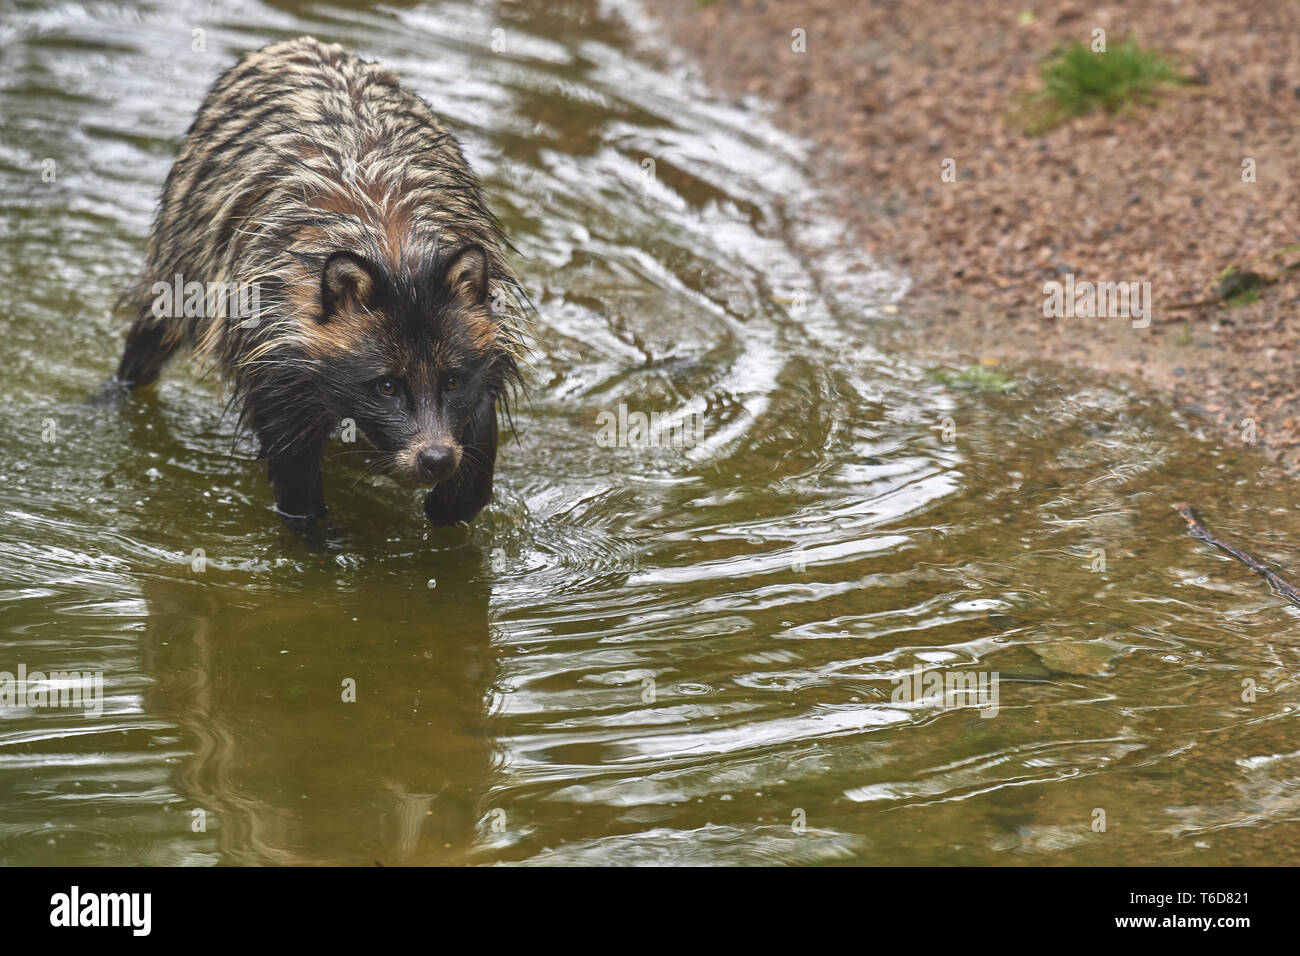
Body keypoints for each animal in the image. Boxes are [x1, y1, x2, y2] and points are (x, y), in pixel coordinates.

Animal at [105, 36, 527, 529]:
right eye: (386, 385)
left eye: (454, 380)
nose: (436, 460)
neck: (393, 250)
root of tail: (304, 41)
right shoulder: (269, 340)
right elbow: (293, 469)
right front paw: (315, 533)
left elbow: (479, 436)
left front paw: (453, 500)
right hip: (180, 258)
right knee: (150, 336)